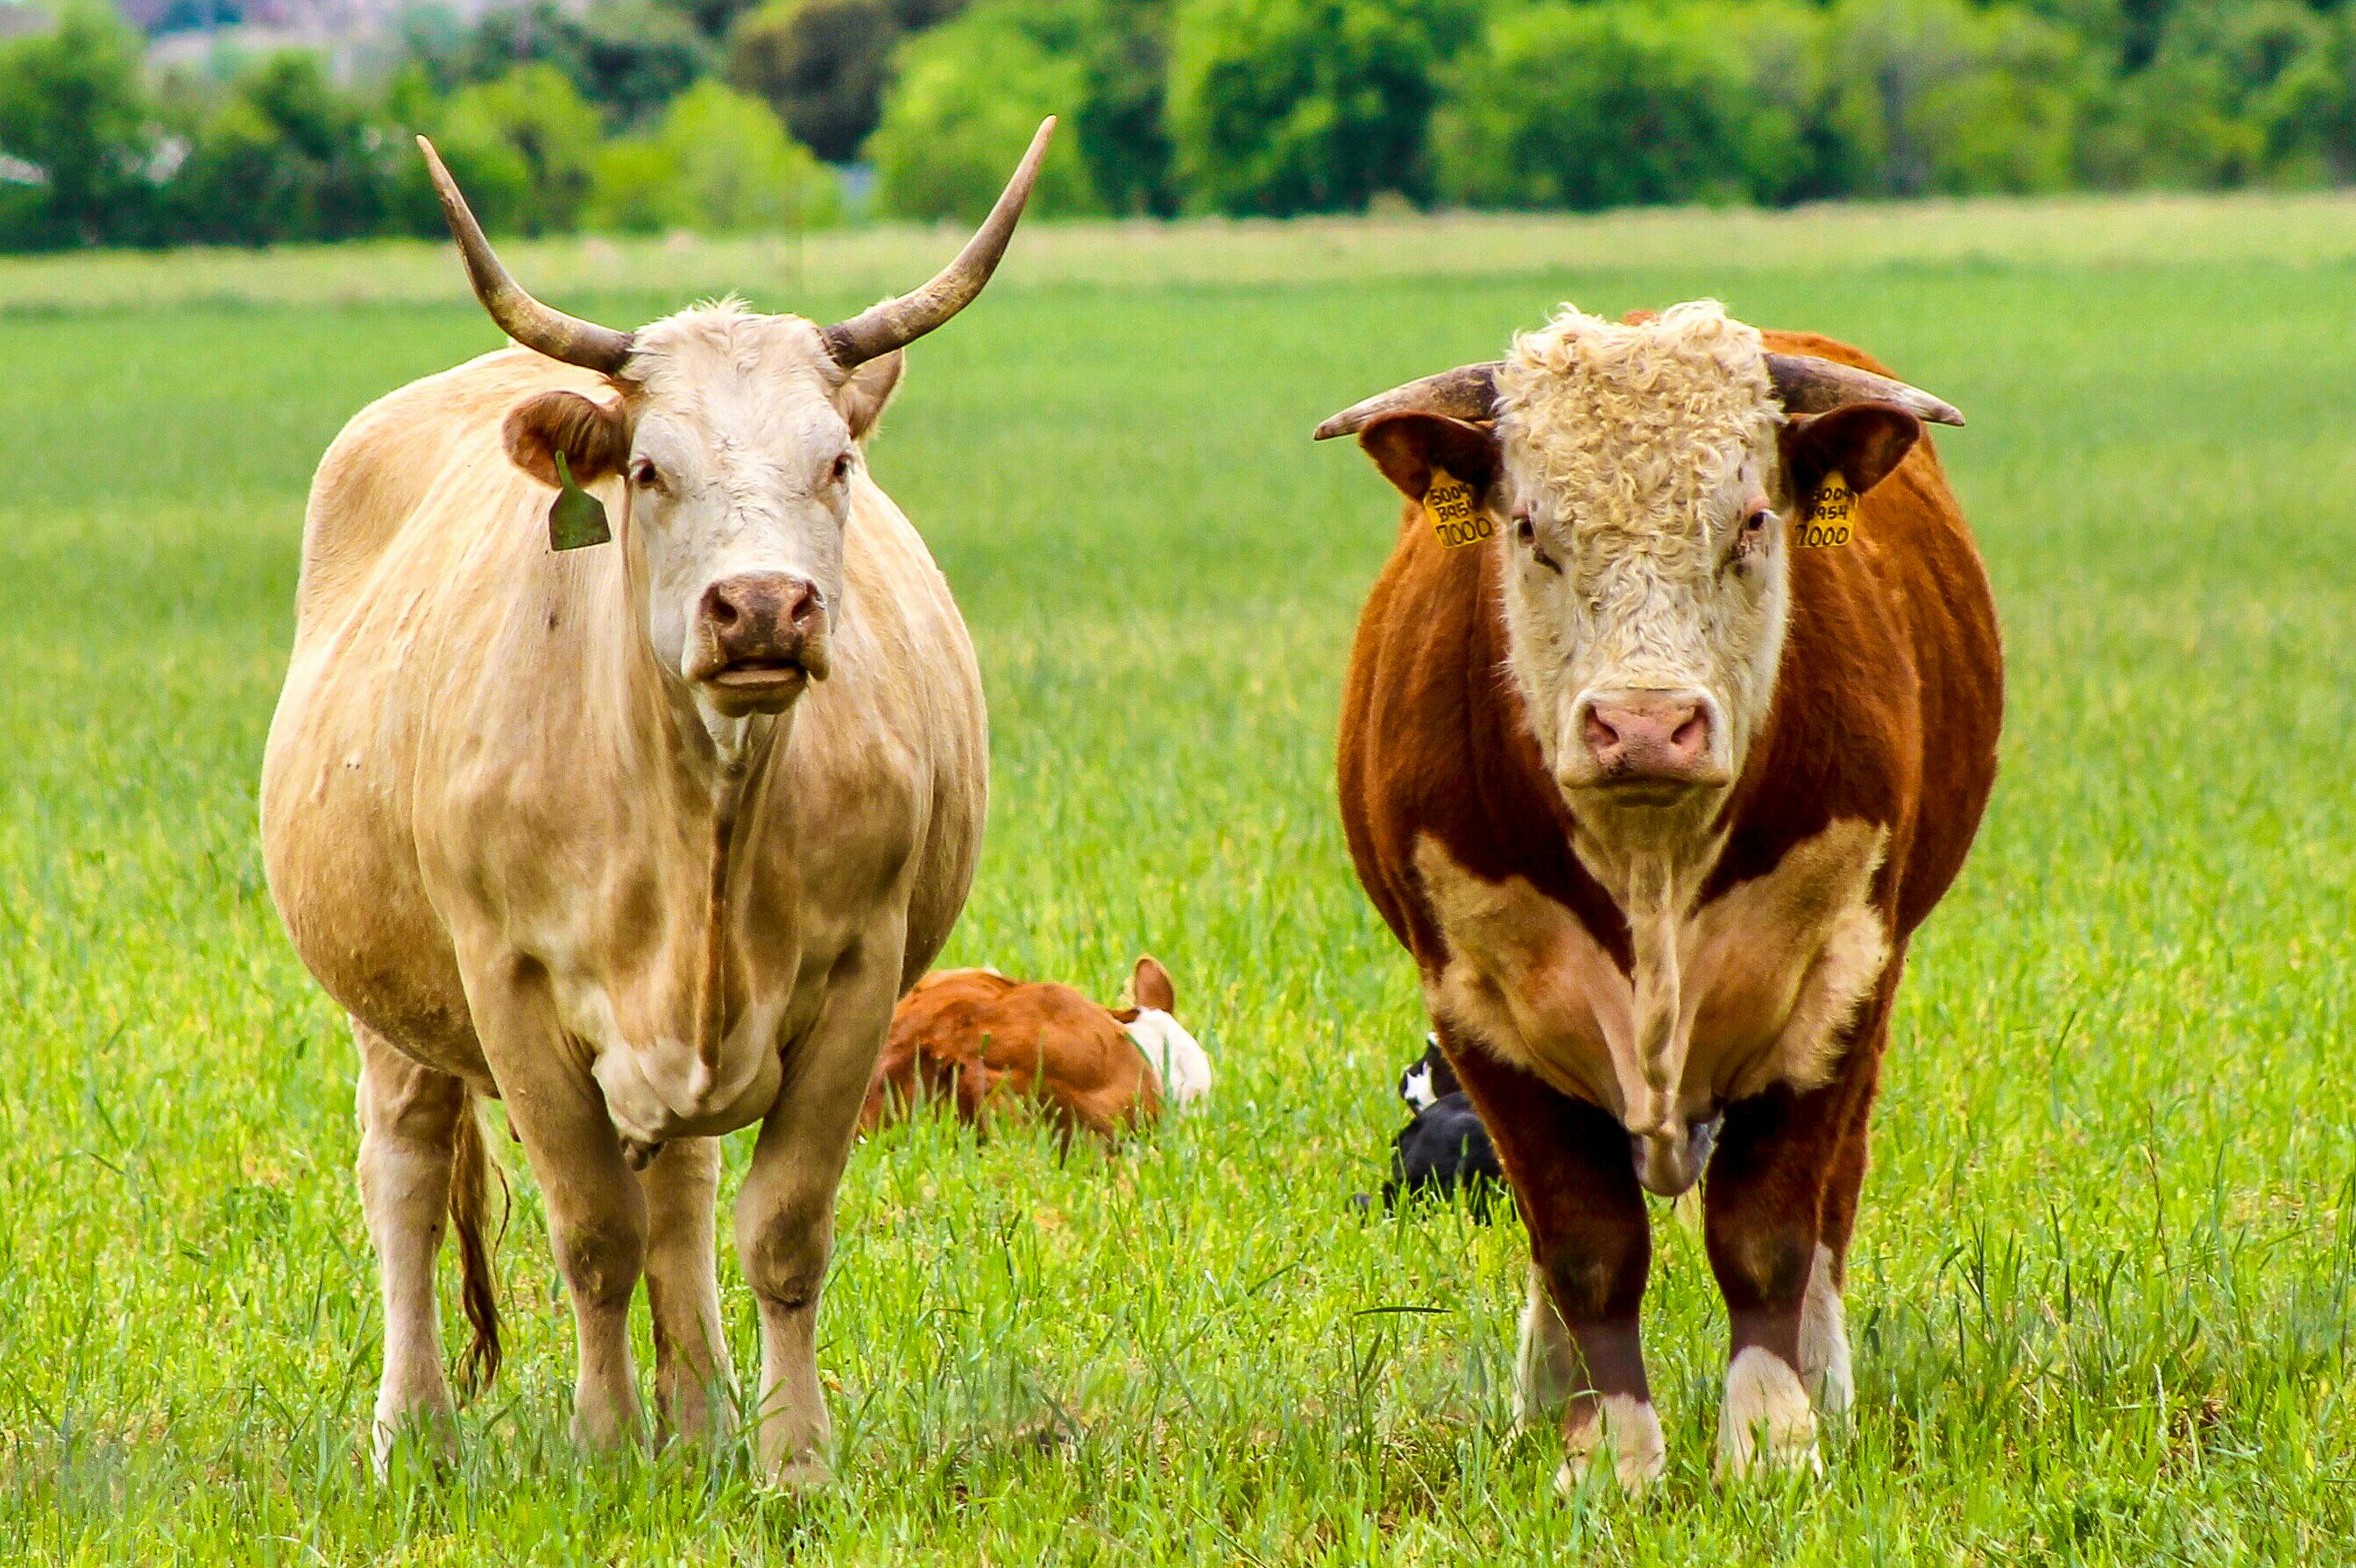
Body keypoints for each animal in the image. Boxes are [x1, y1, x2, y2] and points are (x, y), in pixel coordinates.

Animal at [259, 122, 1054, 1485]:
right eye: (645, 469)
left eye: (835, 461)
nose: (762, 606)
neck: (704, 808)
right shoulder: (512, 987)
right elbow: (591, 1233)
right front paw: (601, 1447)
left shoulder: (860, 974)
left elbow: (779, 1230)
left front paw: (789, 1460)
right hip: (387, 1002)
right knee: (406, 1176)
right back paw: (416, 1434)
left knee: (680, 1190)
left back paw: (701, 1418)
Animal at [1320, 301, 2001, 1487]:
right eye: (1530, 528)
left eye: (1752, 519)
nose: (1642, 725)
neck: (1650, 860)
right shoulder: (1475, 1000)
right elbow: (1584, 1242)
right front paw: (1606, 1453)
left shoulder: (1836, 977)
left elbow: (1767, 1233)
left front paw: (1773, 1440)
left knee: (1830, 1203)